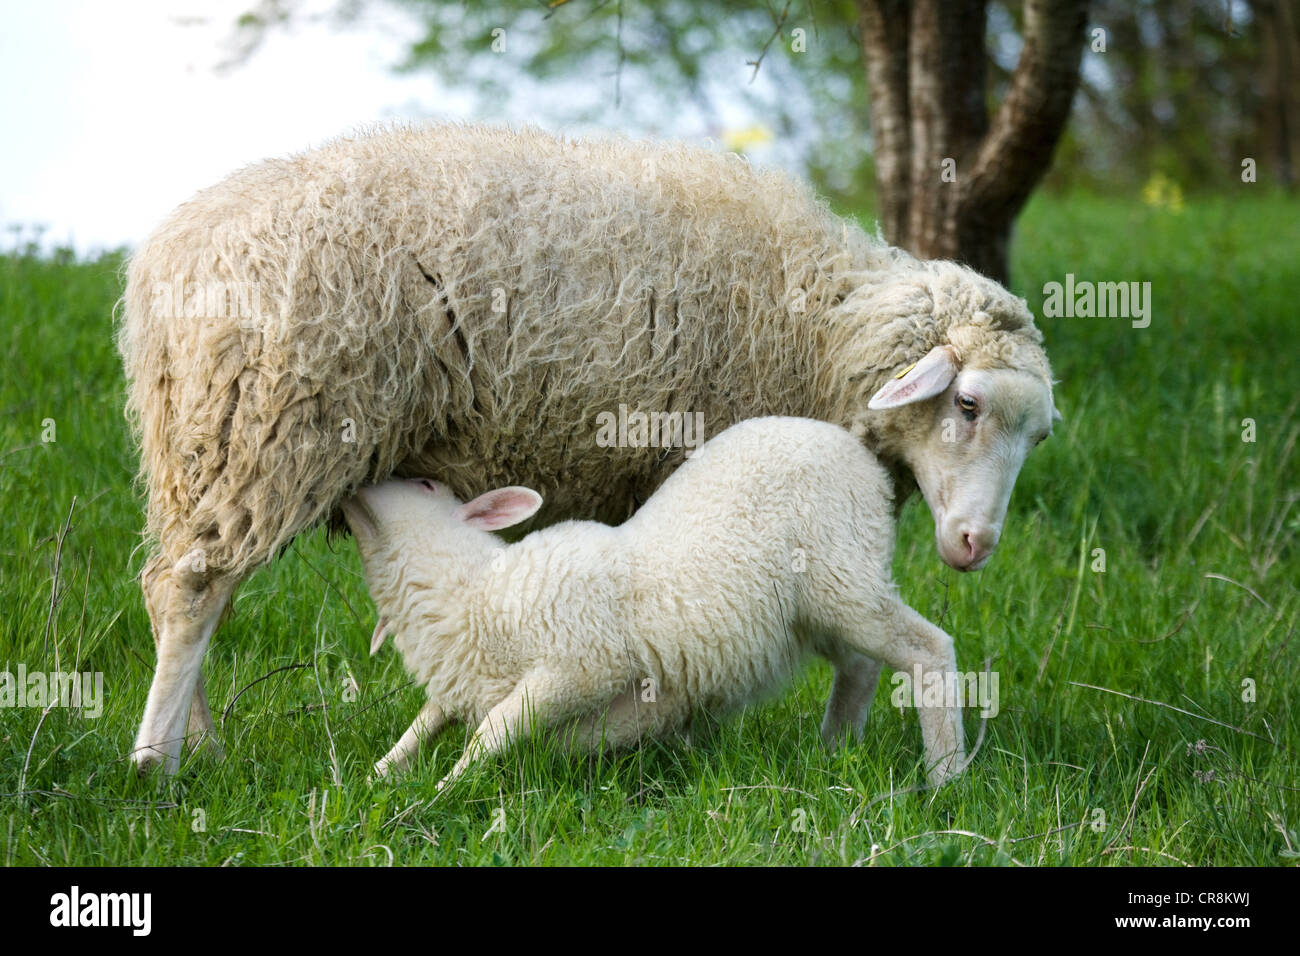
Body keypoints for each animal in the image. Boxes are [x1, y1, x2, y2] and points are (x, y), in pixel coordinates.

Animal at [344, 416, 967, 789]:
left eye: (424, 486)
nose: (355, 485)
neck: (472, 588)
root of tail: (854, 446)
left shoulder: (582, 665)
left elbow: (496, 728)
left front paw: (444, 789)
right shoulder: (460, 685)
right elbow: (426, 722)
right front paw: (377, 777)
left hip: (842, 576)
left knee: (926, 647)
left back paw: (944, 776)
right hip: (814, 609)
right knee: (860, 665)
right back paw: (836, 747)